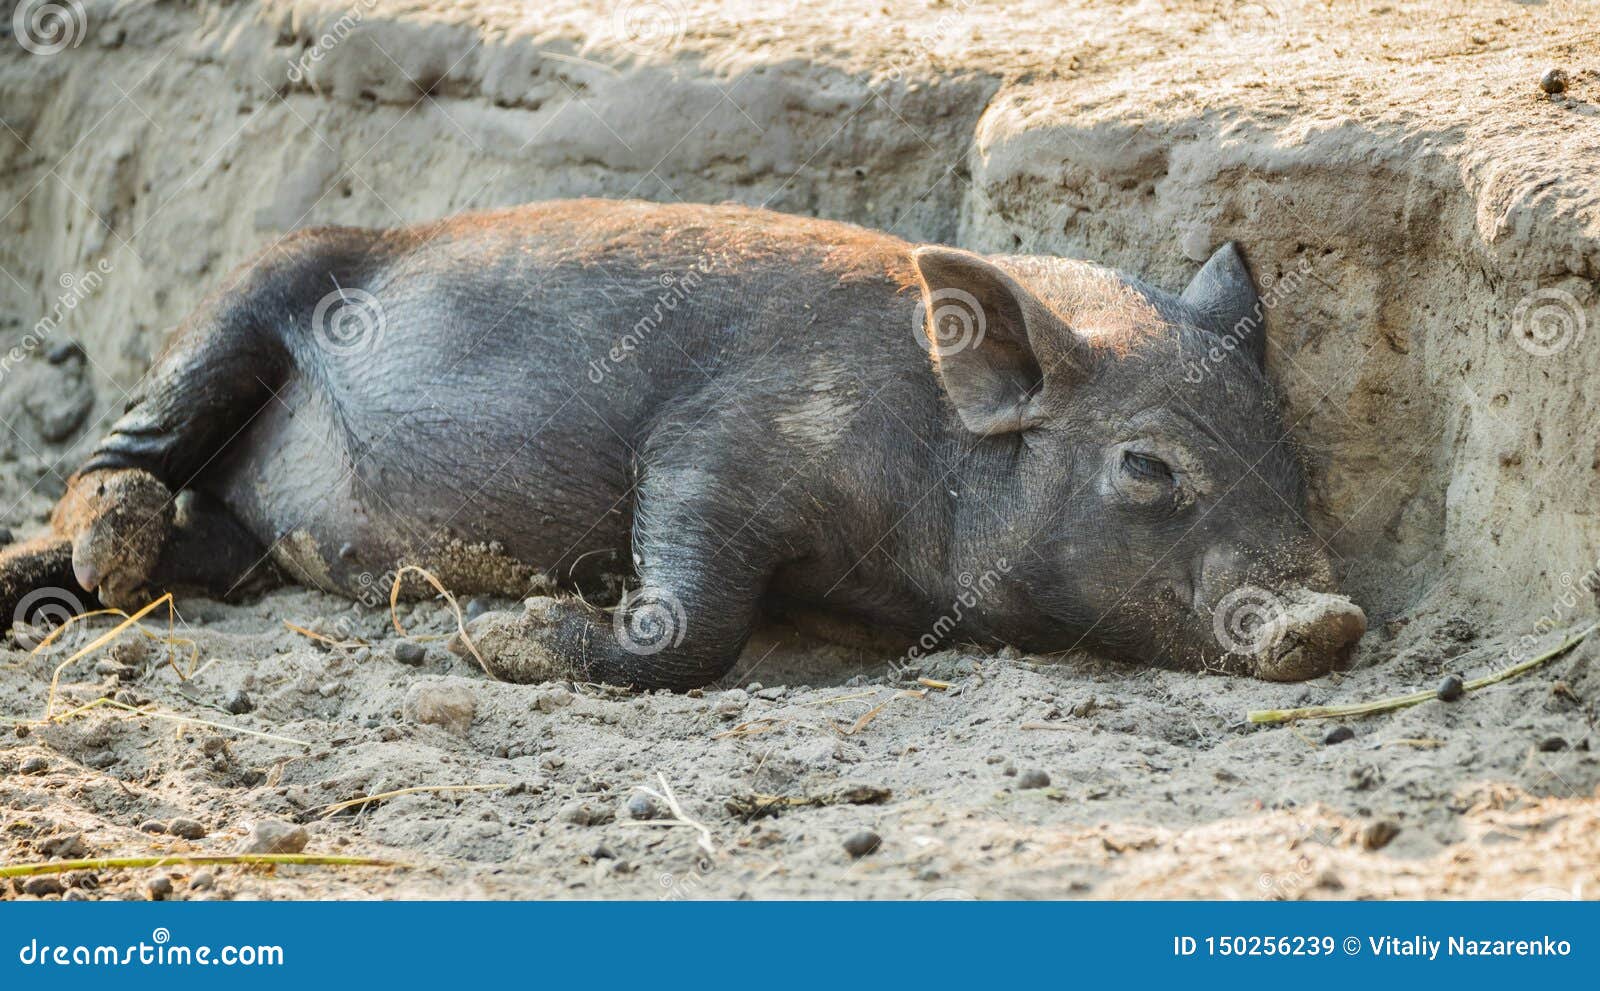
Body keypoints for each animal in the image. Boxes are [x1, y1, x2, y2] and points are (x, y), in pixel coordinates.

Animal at [0, 199, 1364, 688]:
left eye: (1288, 453)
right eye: (1147, 464)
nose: (1330, 617)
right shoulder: (716, 446)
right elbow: (694, 619)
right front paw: (499, 638)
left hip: (248, 526)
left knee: (205, 544)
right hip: (248, 299)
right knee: (115, 458)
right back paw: (98, 550)